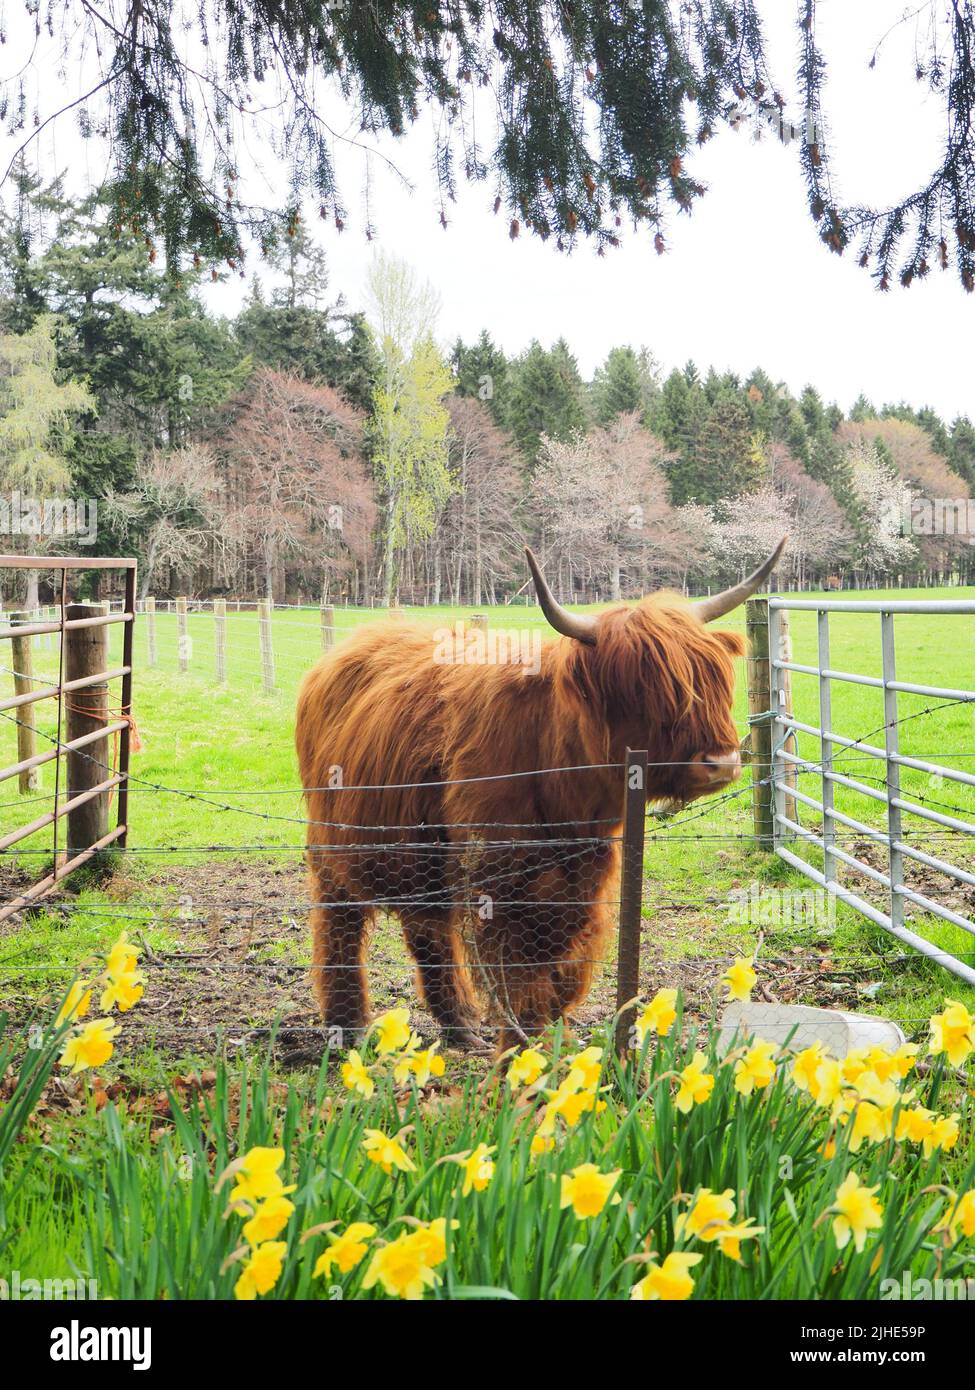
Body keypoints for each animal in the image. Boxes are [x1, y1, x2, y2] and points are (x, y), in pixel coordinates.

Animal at [295, 539, 786, 1049]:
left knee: (427, 929)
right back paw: (348, 1024)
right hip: (333, 845)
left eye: (713, 678)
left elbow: (564, 970)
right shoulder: (498, 879)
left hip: (420, 855)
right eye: (644, 688)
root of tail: (348, 648)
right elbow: (520, 977)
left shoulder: (585, 877)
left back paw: (460, 1024)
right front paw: (525, 1050)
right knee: (339, 925)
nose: (722, 761)